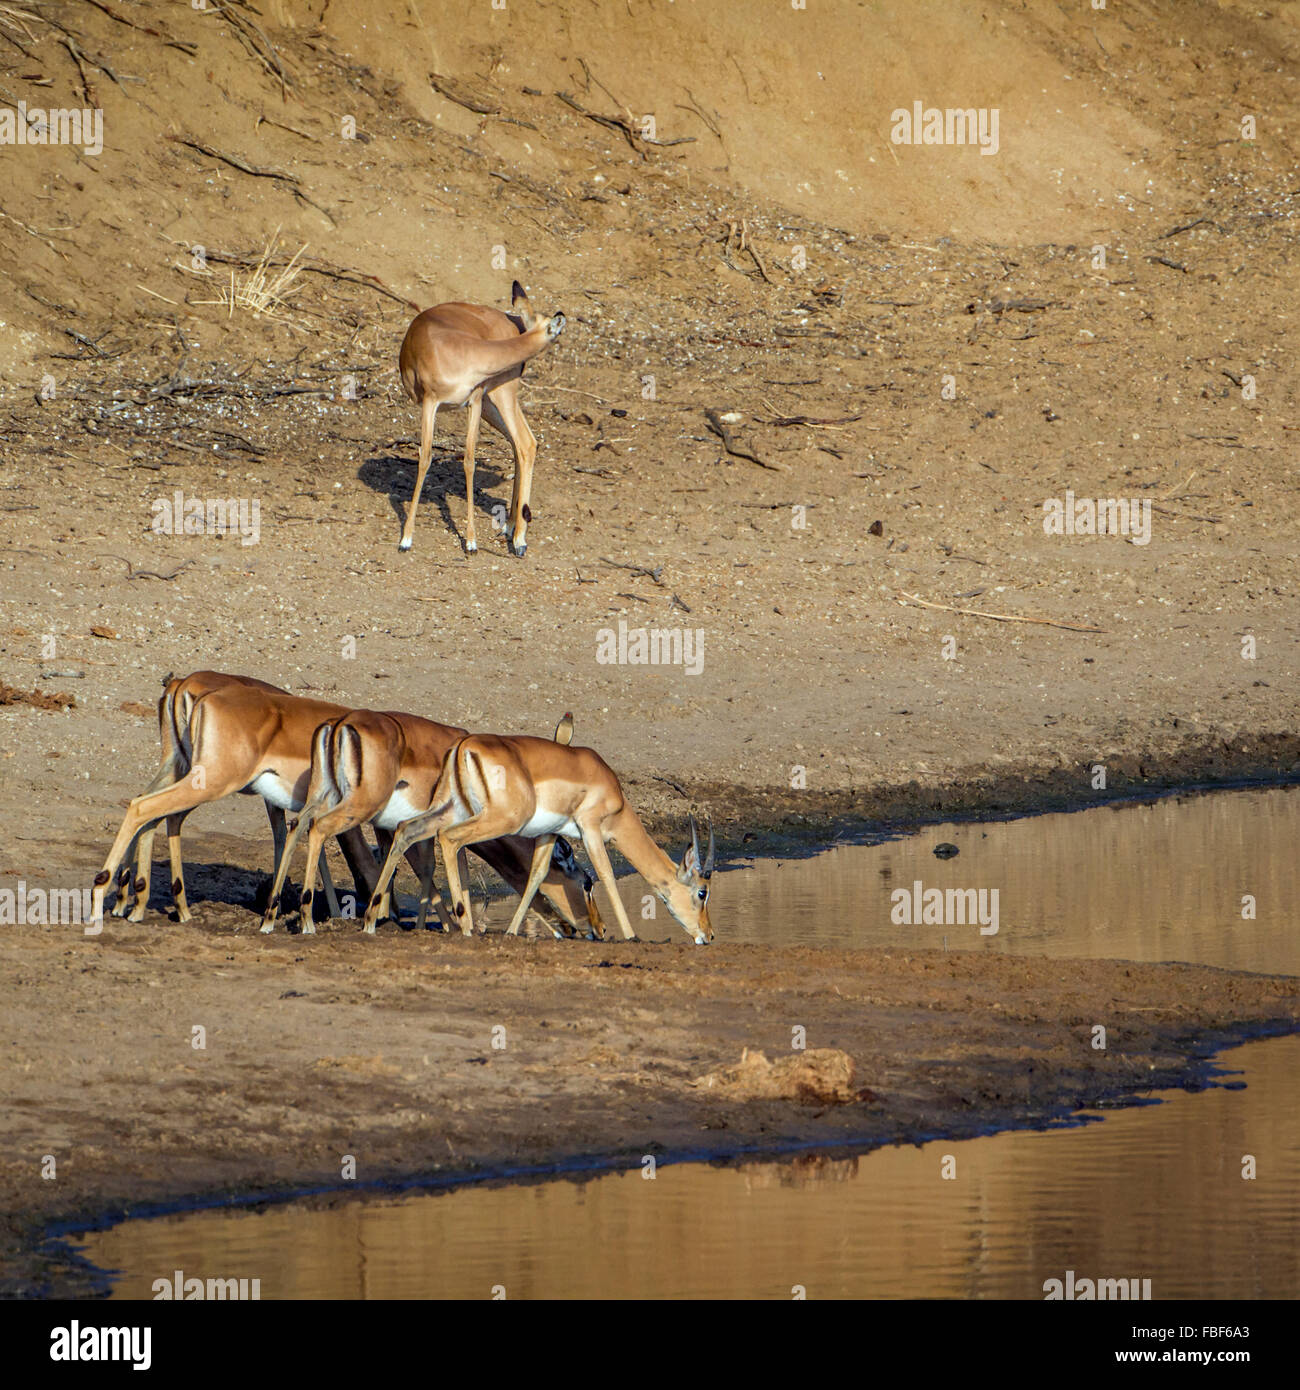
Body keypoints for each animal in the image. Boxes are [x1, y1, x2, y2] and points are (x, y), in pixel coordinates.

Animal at [259, 710, 606, 939]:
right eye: (585, 882)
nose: (595, 929)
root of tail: (339, 725)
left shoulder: (402, 828)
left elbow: (424, 871)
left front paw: (418, 924)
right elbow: (453, 872)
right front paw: (458, 927)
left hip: (323, 797)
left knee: (298, 825)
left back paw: (270, 918)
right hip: (356, 805)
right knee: (317, 828)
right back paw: (307, 922)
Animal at [360, 734, 716, 944]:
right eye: (702, 891)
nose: (709, 935)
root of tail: (464, 746)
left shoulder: (548, 832)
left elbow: (536, 875)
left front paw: (512, 931)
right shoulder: (590, 828)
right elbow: (607, 875)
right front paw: (631, 936)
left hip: (448, 809)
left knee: (406, 830)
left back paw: (370, 920)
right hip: (495, 819)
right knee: (449, 839)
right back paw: (464, 926)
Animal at [396, 280, 564, 557]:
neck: (460, 351)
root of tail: (511, 320)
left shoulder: (472, 402)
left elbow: (469, 462)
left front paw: (471, 543)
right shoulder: (431, 403)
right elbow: (425, 459)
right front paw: (406, 539)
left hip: (498, 397)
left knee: (525, 443)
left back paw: (518, 538)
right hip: (494, 402)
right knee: (521, 443)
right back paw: (512, 531)